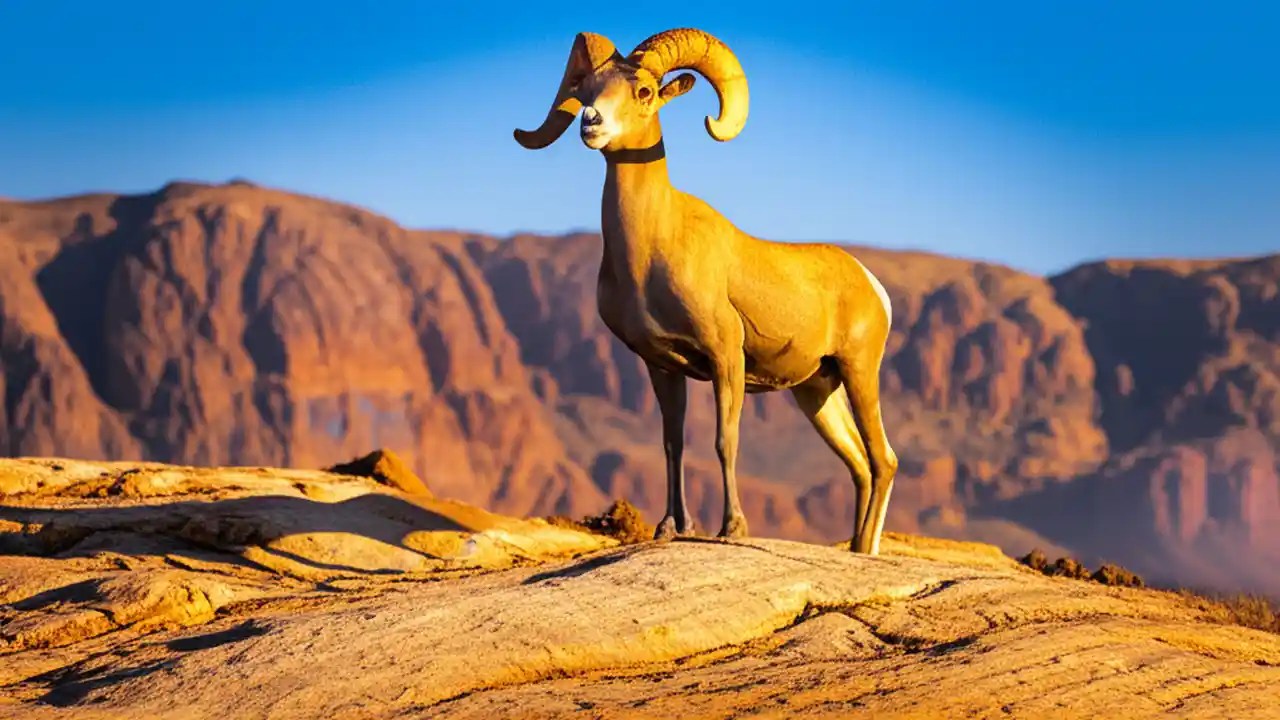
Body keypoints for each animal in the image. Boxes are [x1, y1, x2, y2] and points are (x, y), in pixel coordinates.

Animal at [514, 28, 899, 554]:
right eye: (588, 89)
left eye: (644, 92)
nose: (591, 123)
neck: (652, 248)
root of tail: (872, 285)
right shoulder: (662, 367)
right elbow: (672, 444)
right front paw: (671, 527)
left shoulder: (725, 357)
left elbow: (724, 439)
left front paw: (731, 528)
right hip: (817, 393)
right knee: (859, 464)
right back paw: (856, 547)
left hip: (859, 373)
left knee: (882, 461)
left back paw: (865, 550)